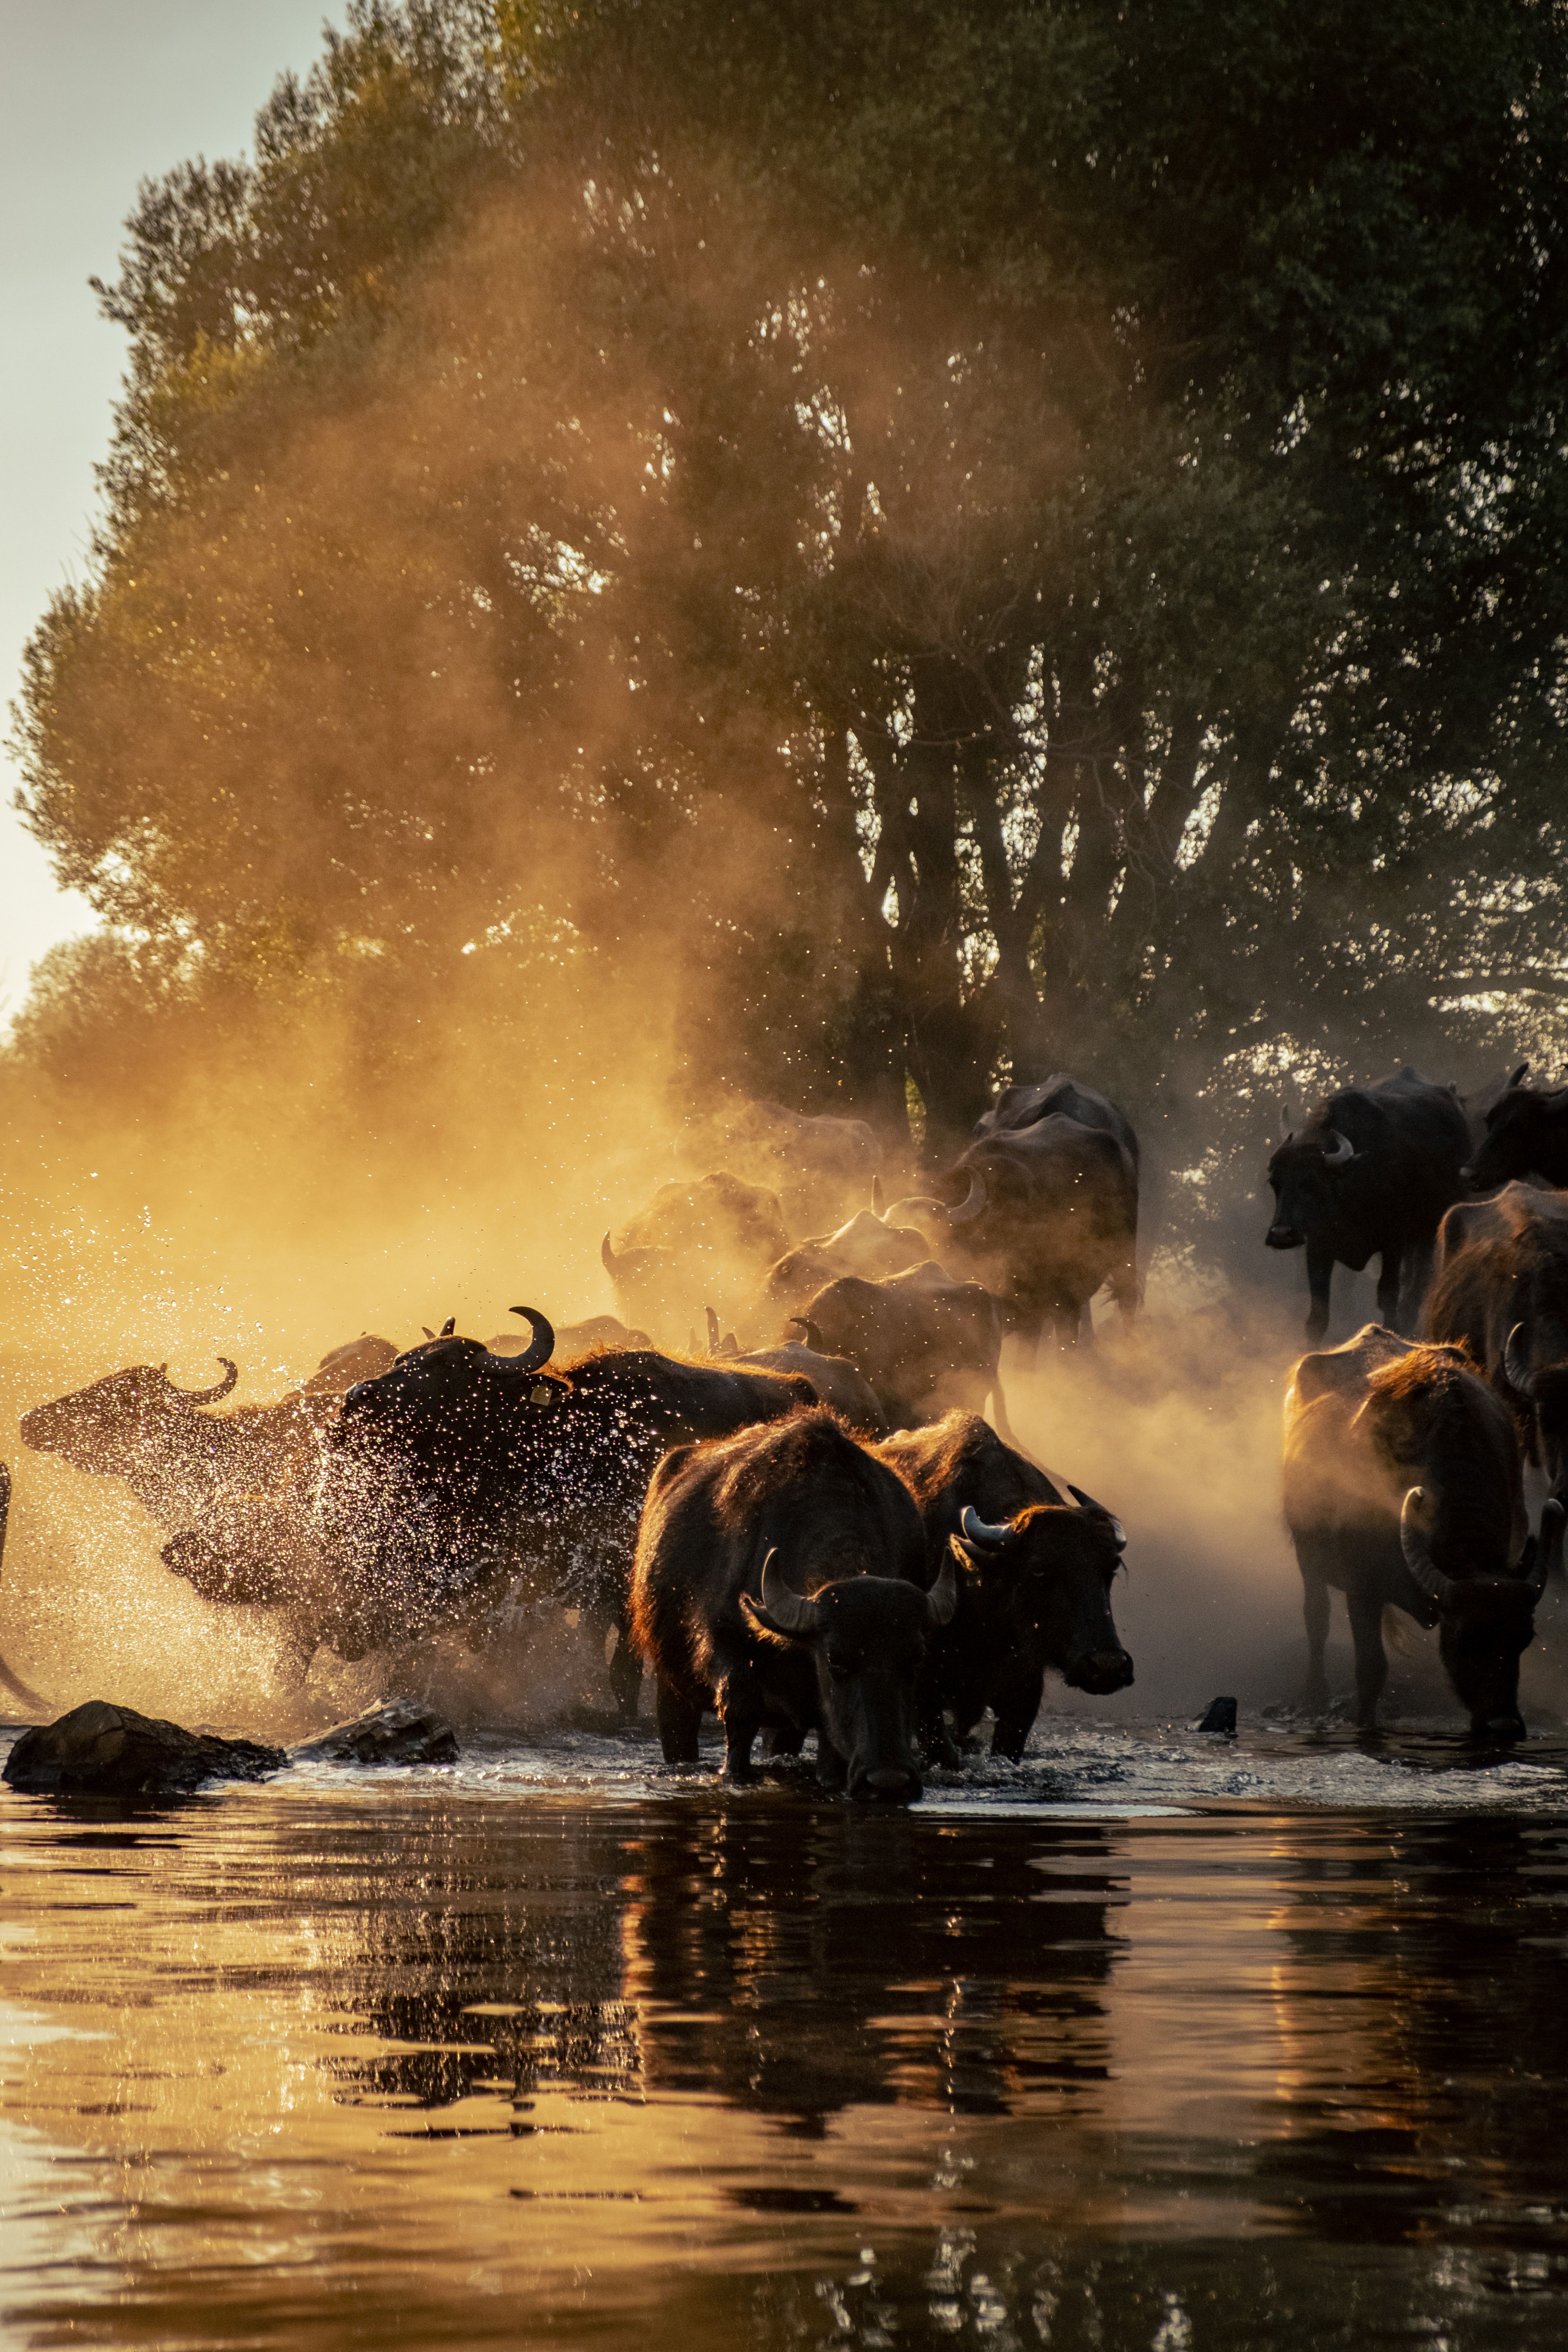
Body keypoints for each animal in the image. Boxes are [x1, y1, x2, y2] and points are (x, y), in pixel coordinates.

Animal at [630, 1407, 954, 1798]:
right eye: (835, 1660)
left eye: (916, 1658)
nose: (889, 1781)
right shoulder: (721, 1640)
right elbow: (740, 1707)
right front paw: (733, 1773)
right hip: (671, 1685)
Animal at [1266, 1067, 1469, 1341]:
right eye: (1274, 1182)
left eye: (1312, 1182)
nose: (1281, 1234)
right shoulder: (1318, 1246)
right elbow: (1318, 1315)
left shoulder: (1393, 1242)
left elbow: (1388, 1296)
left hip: (1429, 1231)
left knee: (1417, 1287)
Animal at [1281, 1323, 1556, 1736]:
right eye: (1464, 1639)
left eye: (1523, 1639)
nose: (1503, 1725)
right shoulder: (1362, 1588)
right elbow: (1371, 1669)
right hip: (1305, 1552)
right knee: (1316, 1618)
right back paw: (1313, 1695)